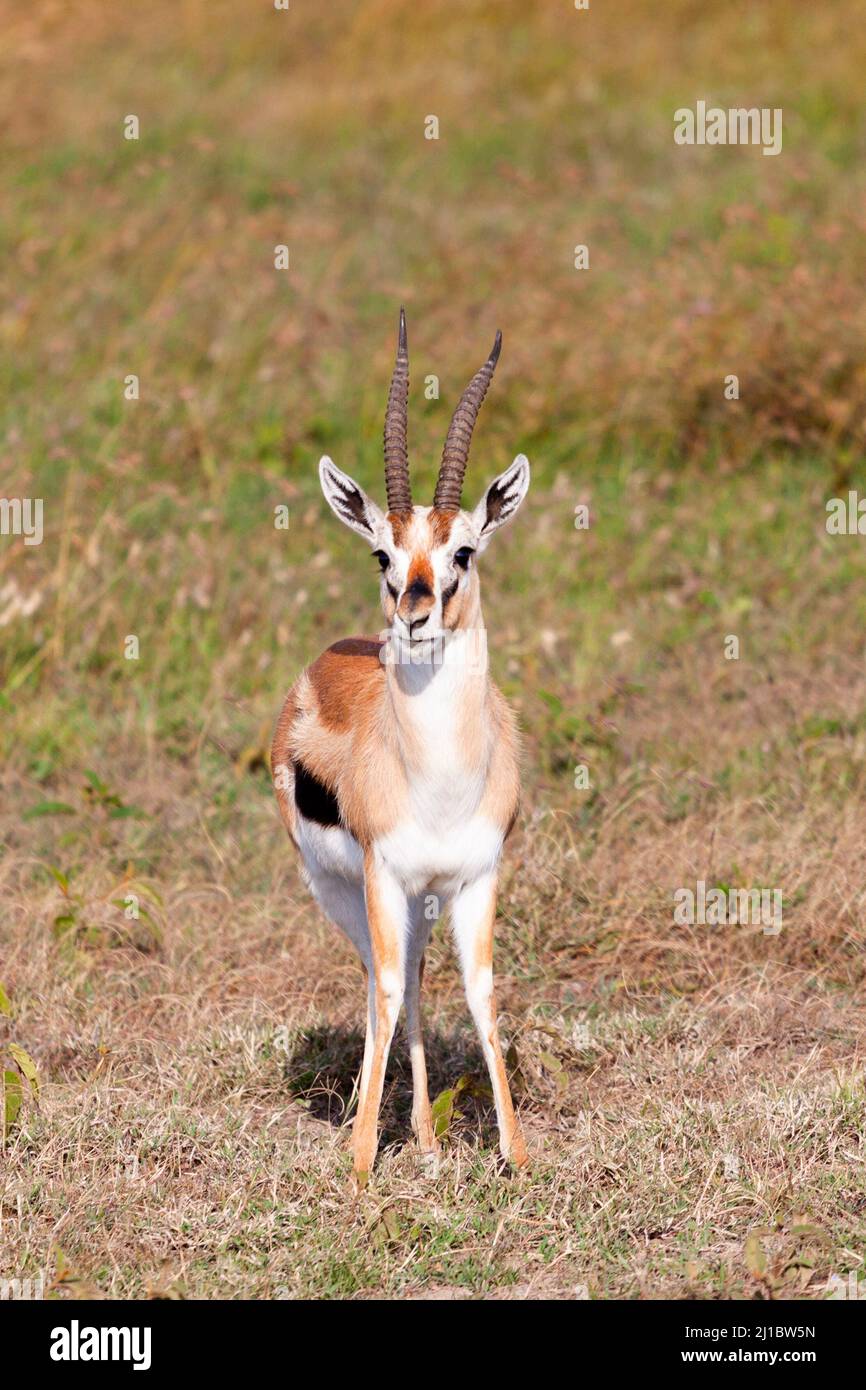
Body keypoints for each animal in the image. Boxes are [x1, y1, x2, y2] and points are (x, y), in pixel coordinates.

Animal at [272, 309, 531, 1184]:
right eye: (382, 552)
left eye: (464, 552)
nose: (414, 616)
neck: (442, 779)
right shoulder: (384, 874)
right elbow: (385, 991)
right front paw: (358, 1164)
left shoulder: (477, 875)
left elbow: (480, 993)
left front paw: (518, 1155)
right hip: (342, 889)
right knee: (382, 977)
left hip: (419, 895)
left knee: (417, 976)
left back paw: (420, 1131)